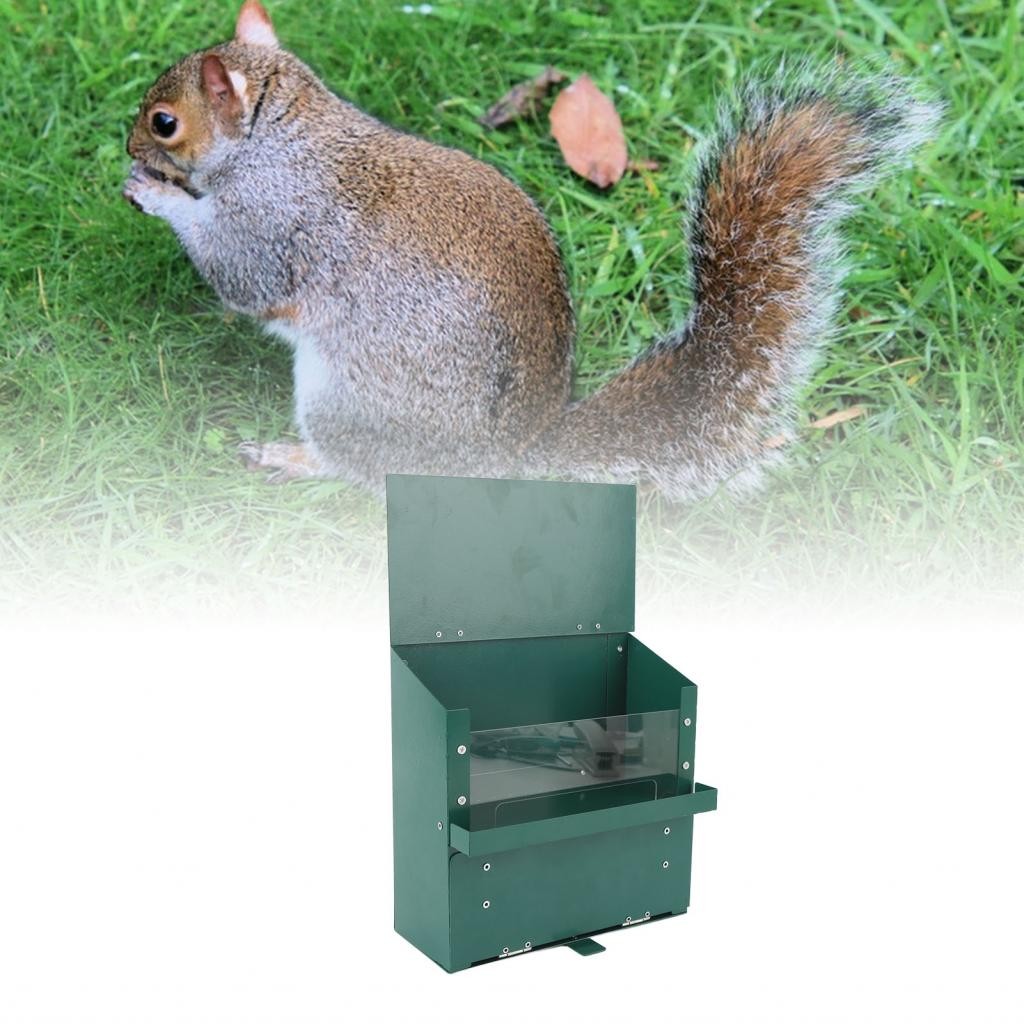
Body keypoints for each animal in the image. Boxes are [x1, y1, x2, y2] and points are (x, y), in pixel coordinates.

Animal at [124, 0, 940, 498]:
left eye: (165, 122)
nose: (128, 147)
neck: (282, 136)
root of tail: (500, 462)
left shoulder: (277, 220)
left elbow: (241, 279)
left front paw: (155, 195)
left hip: (343, 398)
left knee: (359, 471)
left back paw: (293, 457)